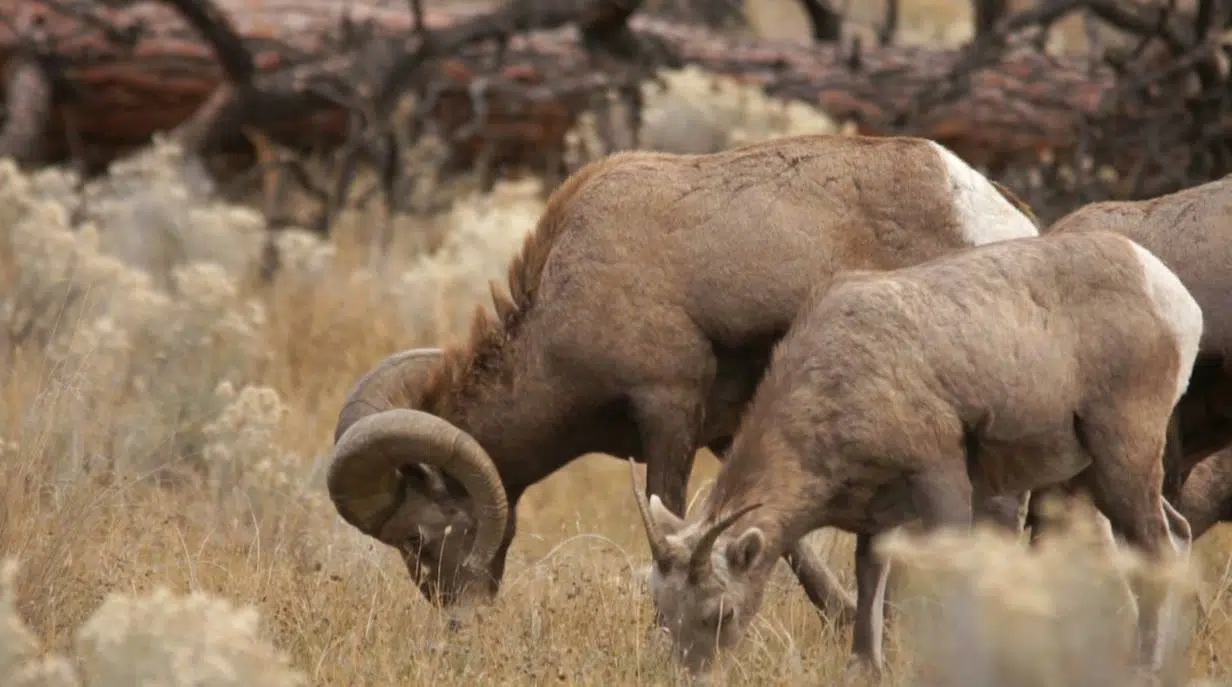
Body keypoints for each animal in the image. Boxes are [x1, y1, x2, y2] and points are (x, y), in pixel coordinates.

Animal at [325, 132, 1041, 616]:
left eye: (418, 536)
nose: (460, 619)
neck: (567, 293)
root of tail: (998, 215)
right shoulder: (725, 433)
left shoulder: (667, 416)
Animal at [631, 229, 1200, 679]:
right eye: (663, 609)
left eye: (720, 615)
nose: (689, 675)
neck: (839, 380)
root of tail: (1172, 297)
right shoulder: (876, 519)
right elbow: (869, 587)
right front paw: (865, 669)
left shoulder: (940, 477)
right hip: (1103, 473)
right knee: (1176, 536)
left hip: (1123, 456)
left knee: (1157, 548)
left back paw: (1143, 668)